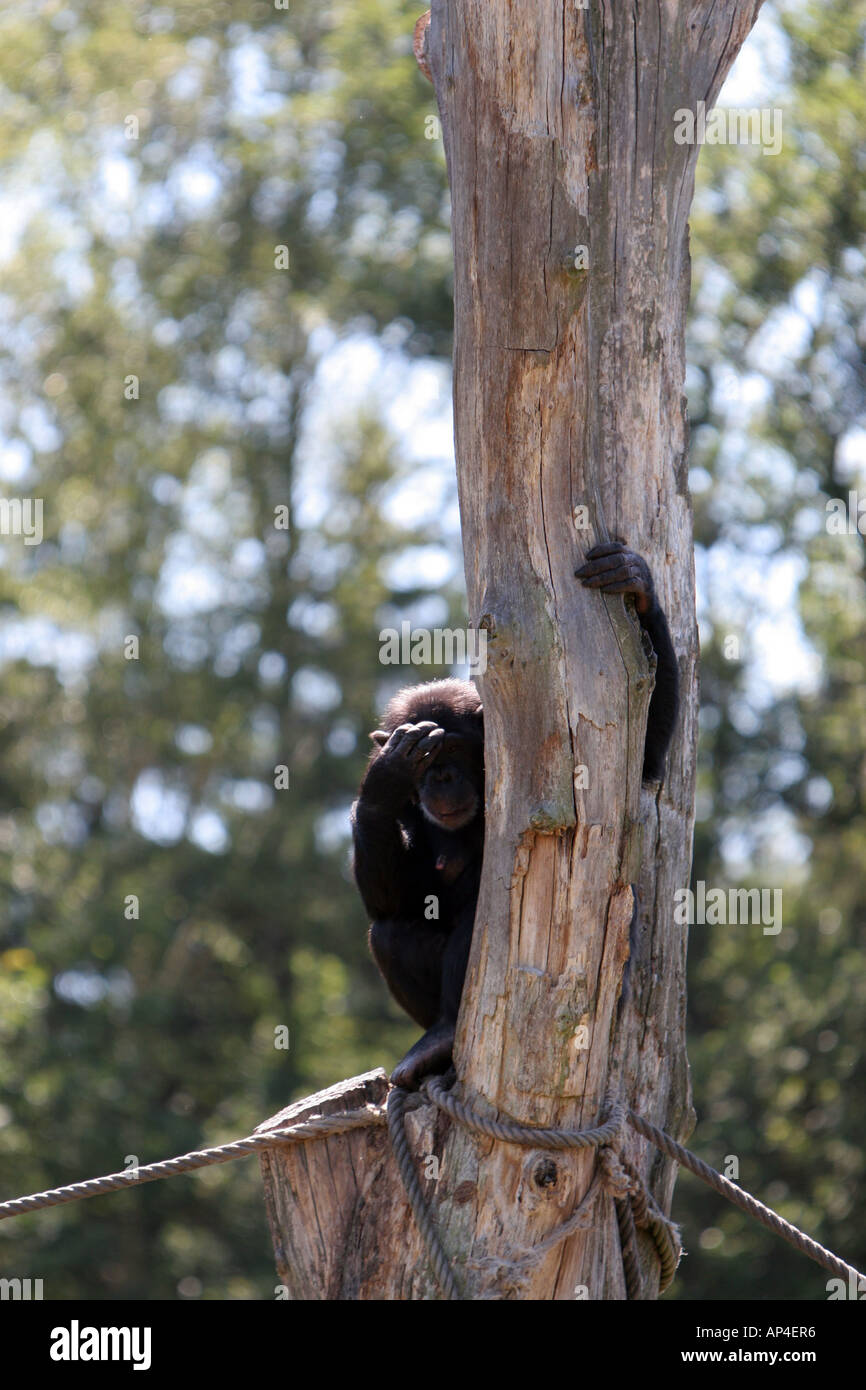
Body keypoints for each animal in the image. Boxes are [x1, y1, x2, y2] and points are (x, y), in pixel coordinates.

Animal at [351, 541, 679, 1088]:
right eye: (425, 758)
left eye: (452, 750)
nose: (441, 778)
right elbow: (393, 899)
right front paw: (385, 773)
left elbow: (644, 754)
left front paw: (635, 581)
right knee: (388, 931)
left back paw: (442, 1035)